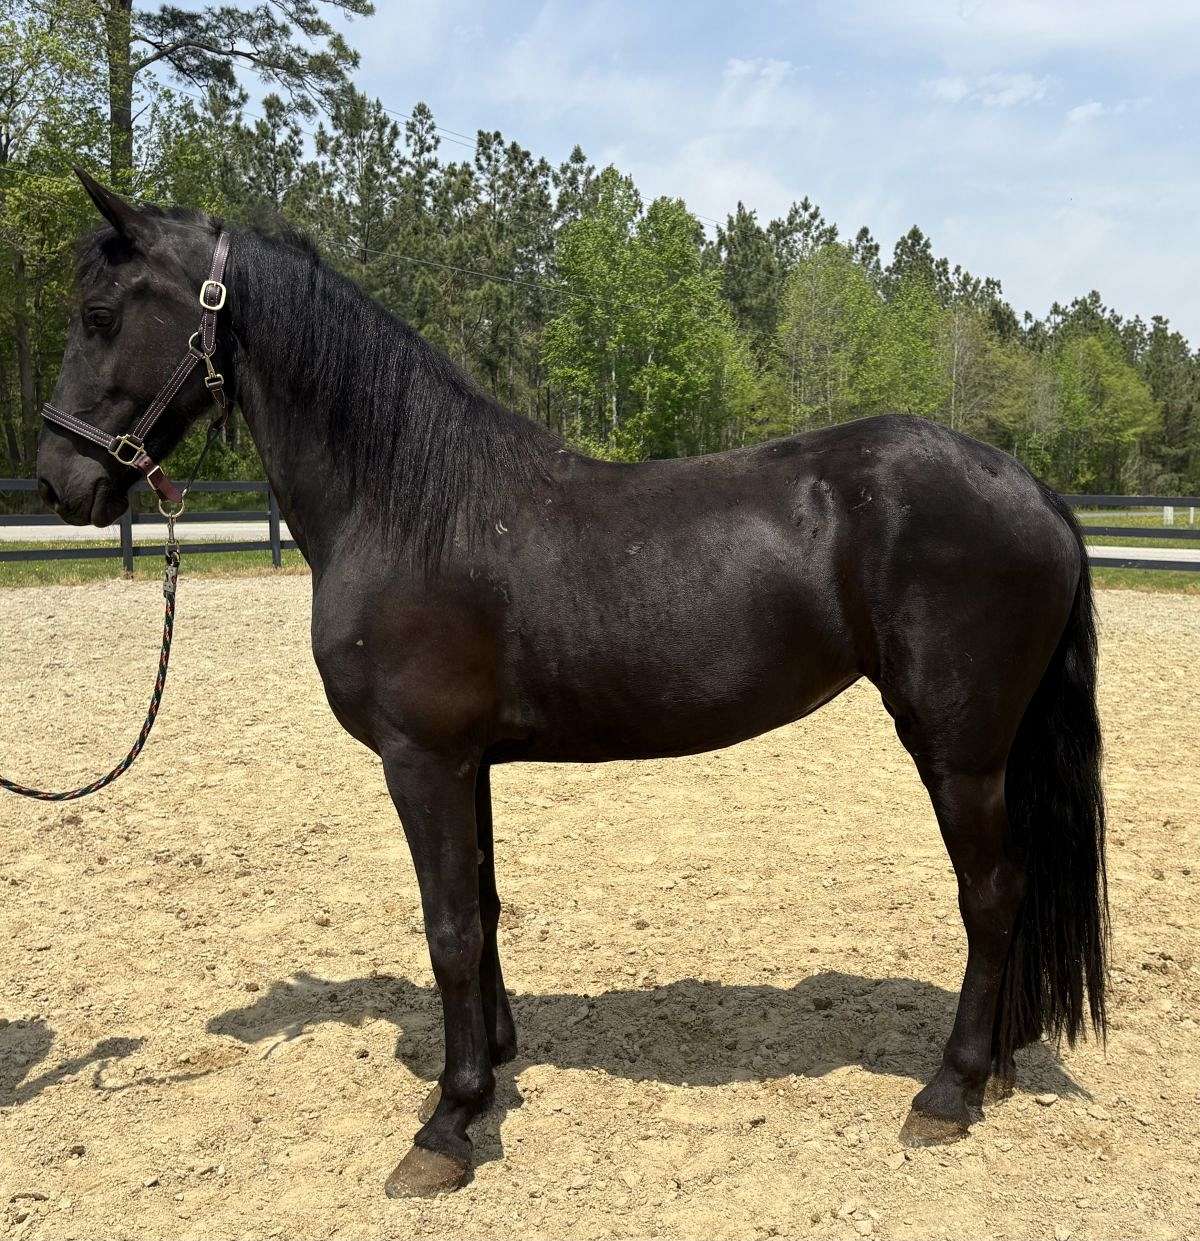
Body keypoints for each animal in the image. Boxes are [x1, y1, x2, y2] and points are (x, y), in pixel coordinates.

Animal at [34, 171, 1107, 1197]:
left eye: (100, 313)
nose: (55, 483)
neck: (407, 507)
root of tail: (1034, 488)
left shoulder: (419, 759)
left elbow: (449, 927)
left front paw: (447, 1124)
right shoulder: (467, 762)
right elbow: (483, 907)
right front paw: (495, 1063)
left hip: (958, 748)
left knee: (991, 893)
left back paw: (951, 1088)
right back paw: (996, 1063)